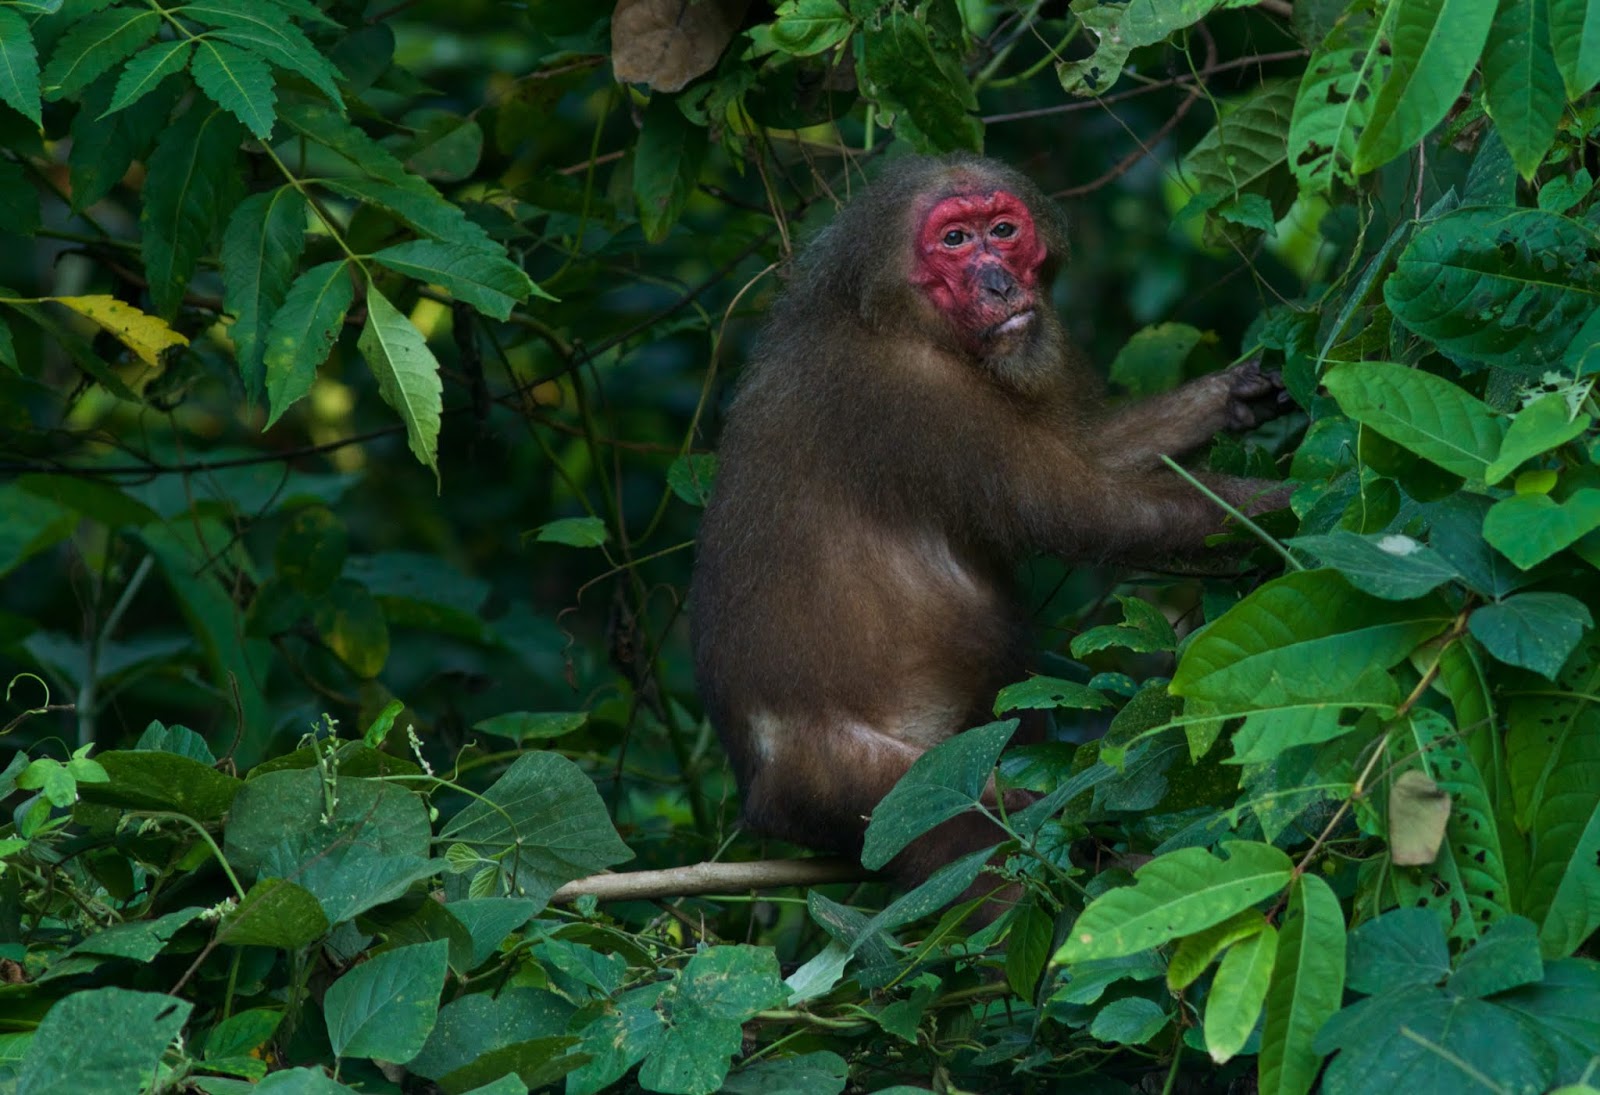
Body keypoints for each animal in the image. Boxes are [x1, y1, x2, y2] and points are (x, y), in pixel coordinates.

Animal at [689, 154, 1287, 902]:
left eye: (1003, 230)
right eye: (954, 241)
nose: (1000, 280)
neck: (903, 320)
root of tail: (759, 791)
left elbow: (1090, 457)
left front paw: (1226, 399)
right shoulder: (914, 393)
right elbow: (1077, 504)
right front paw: (1289, 508)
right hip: (870, 789)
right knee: (989, 843)